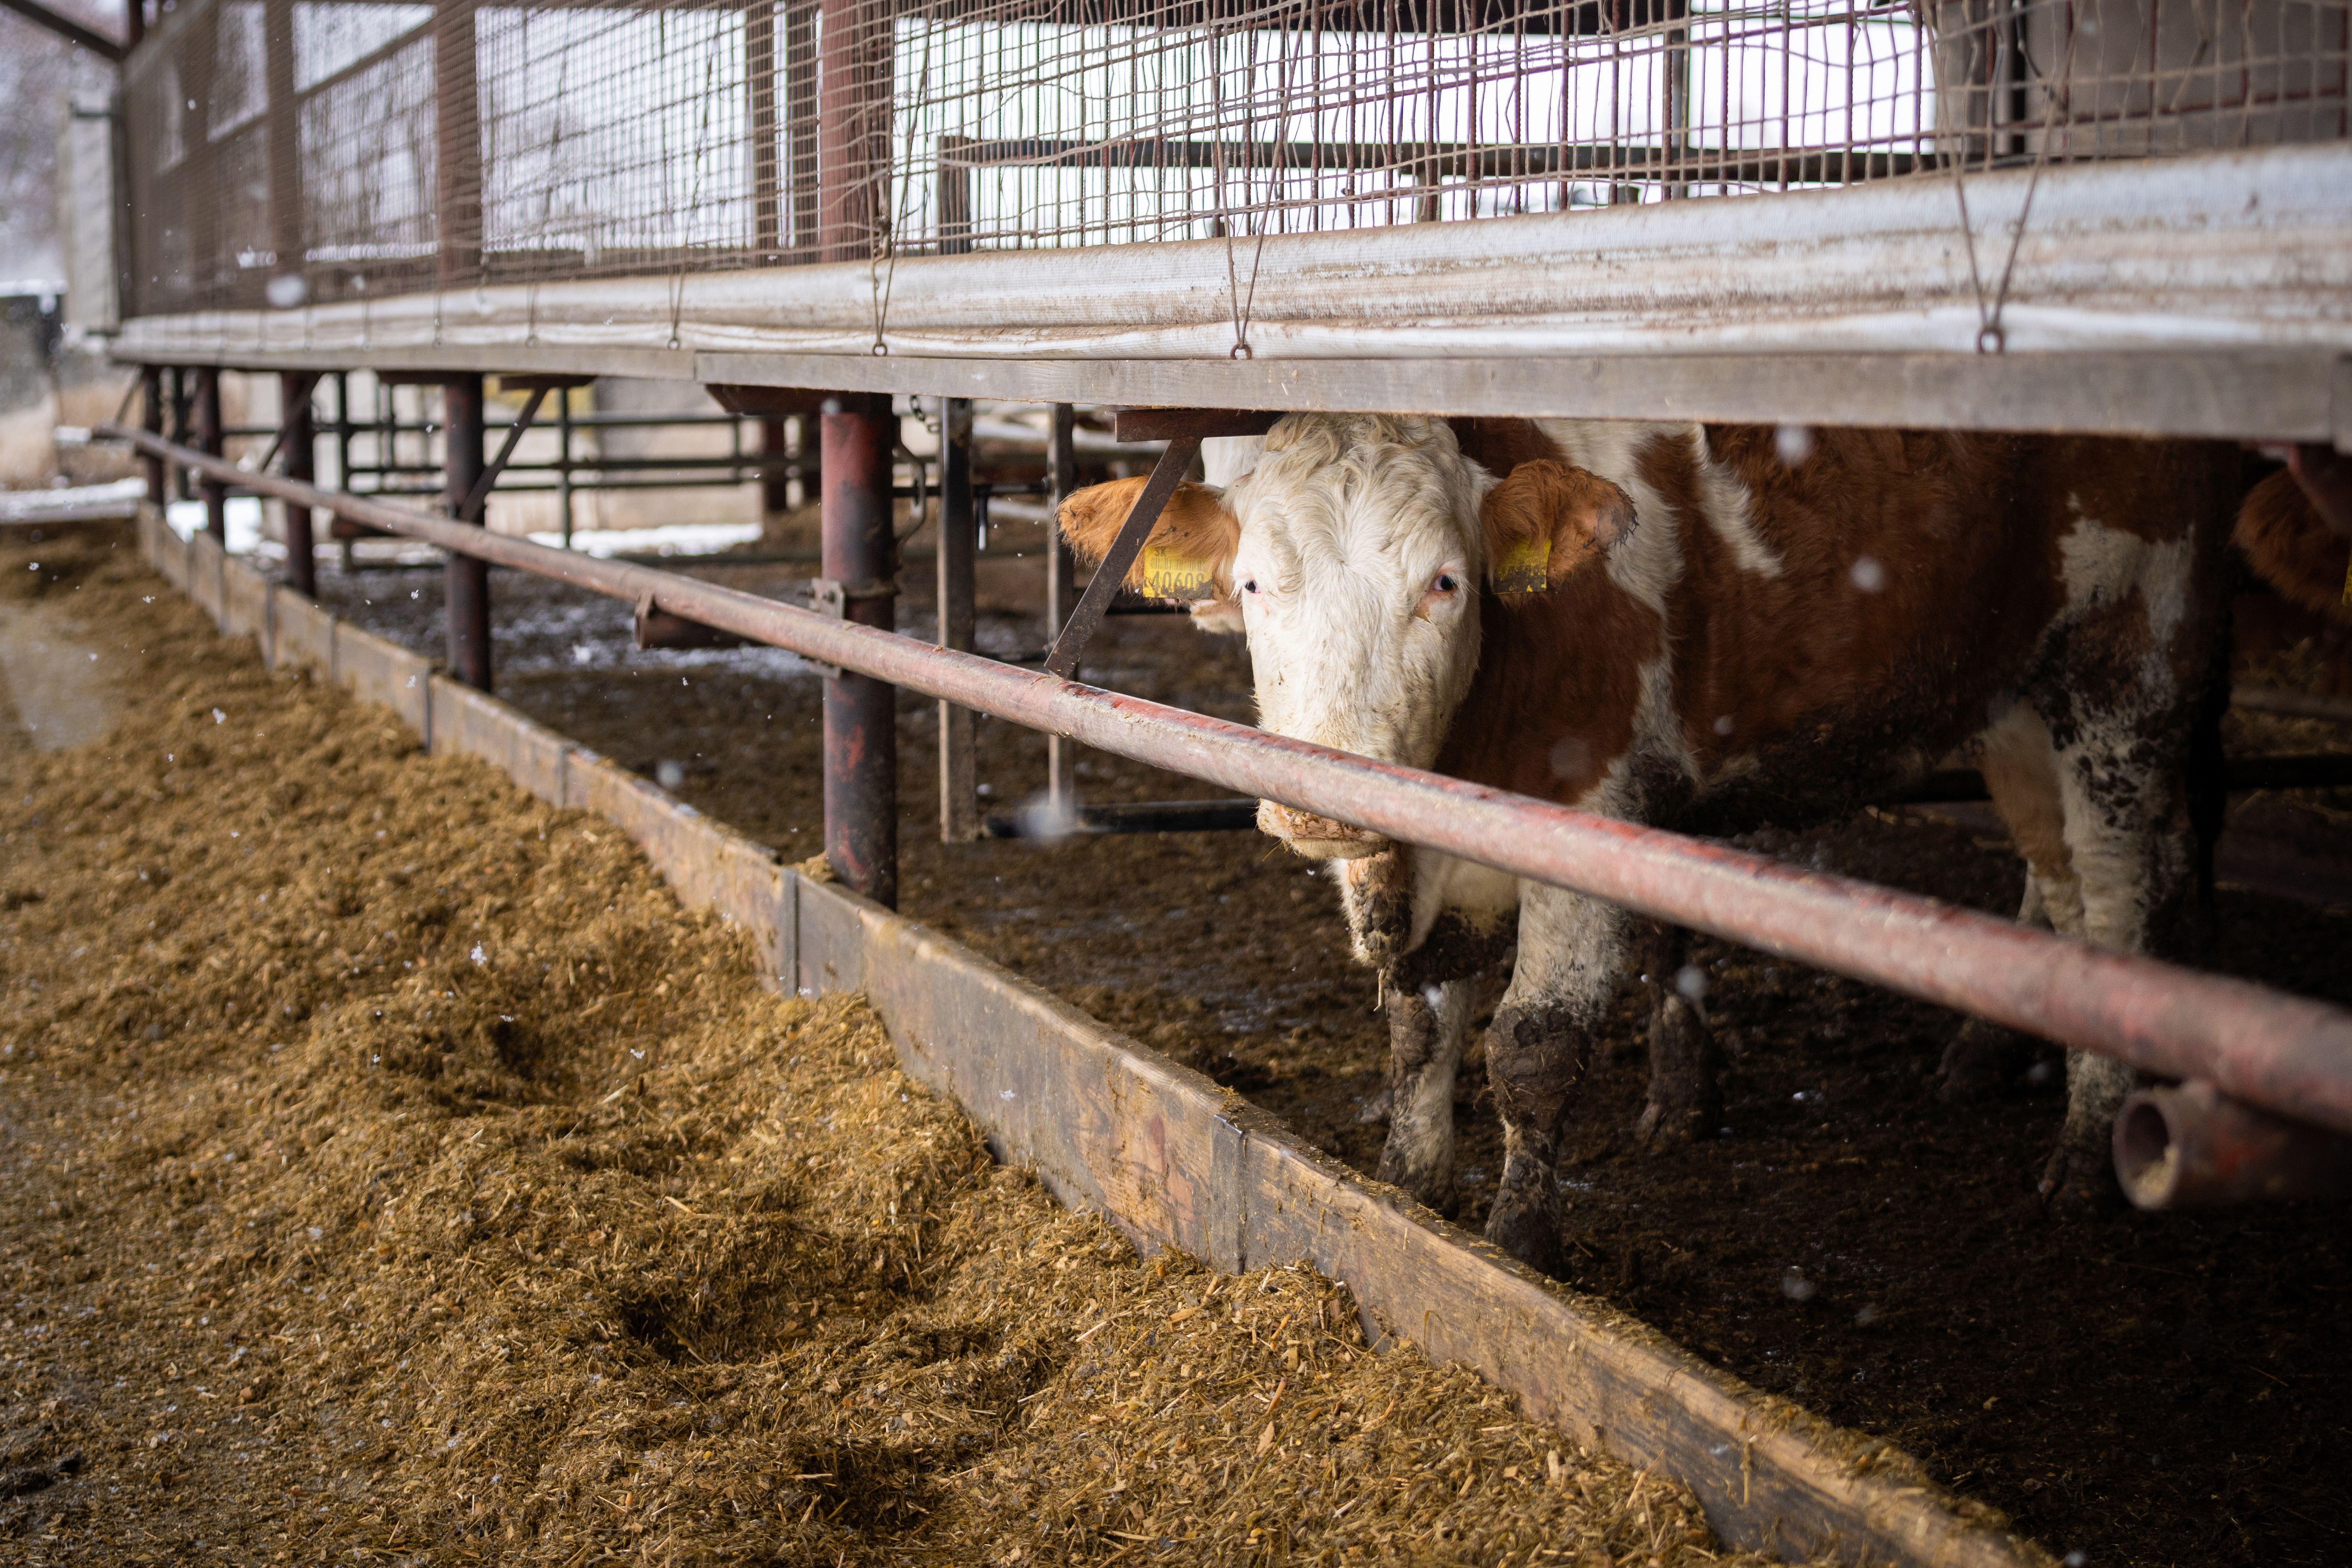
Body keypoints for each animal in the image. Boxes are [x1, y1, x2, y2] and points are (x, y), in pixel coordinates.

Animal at [1061, 414, 2242, 1272]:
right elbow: (1419, 1023)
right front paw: (1406, 1185)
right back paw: (1991, 1058)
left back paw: (2088, 1149)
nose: (1322, 804)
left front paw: (1518, 1246)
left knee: (2120, 892)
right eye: (1254, 584)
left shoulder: (1592, 812)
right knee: (2059, 880)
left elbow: (1531, 1048)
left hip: (2122, 669)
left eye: (1445, 583)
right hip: (2012, 701)